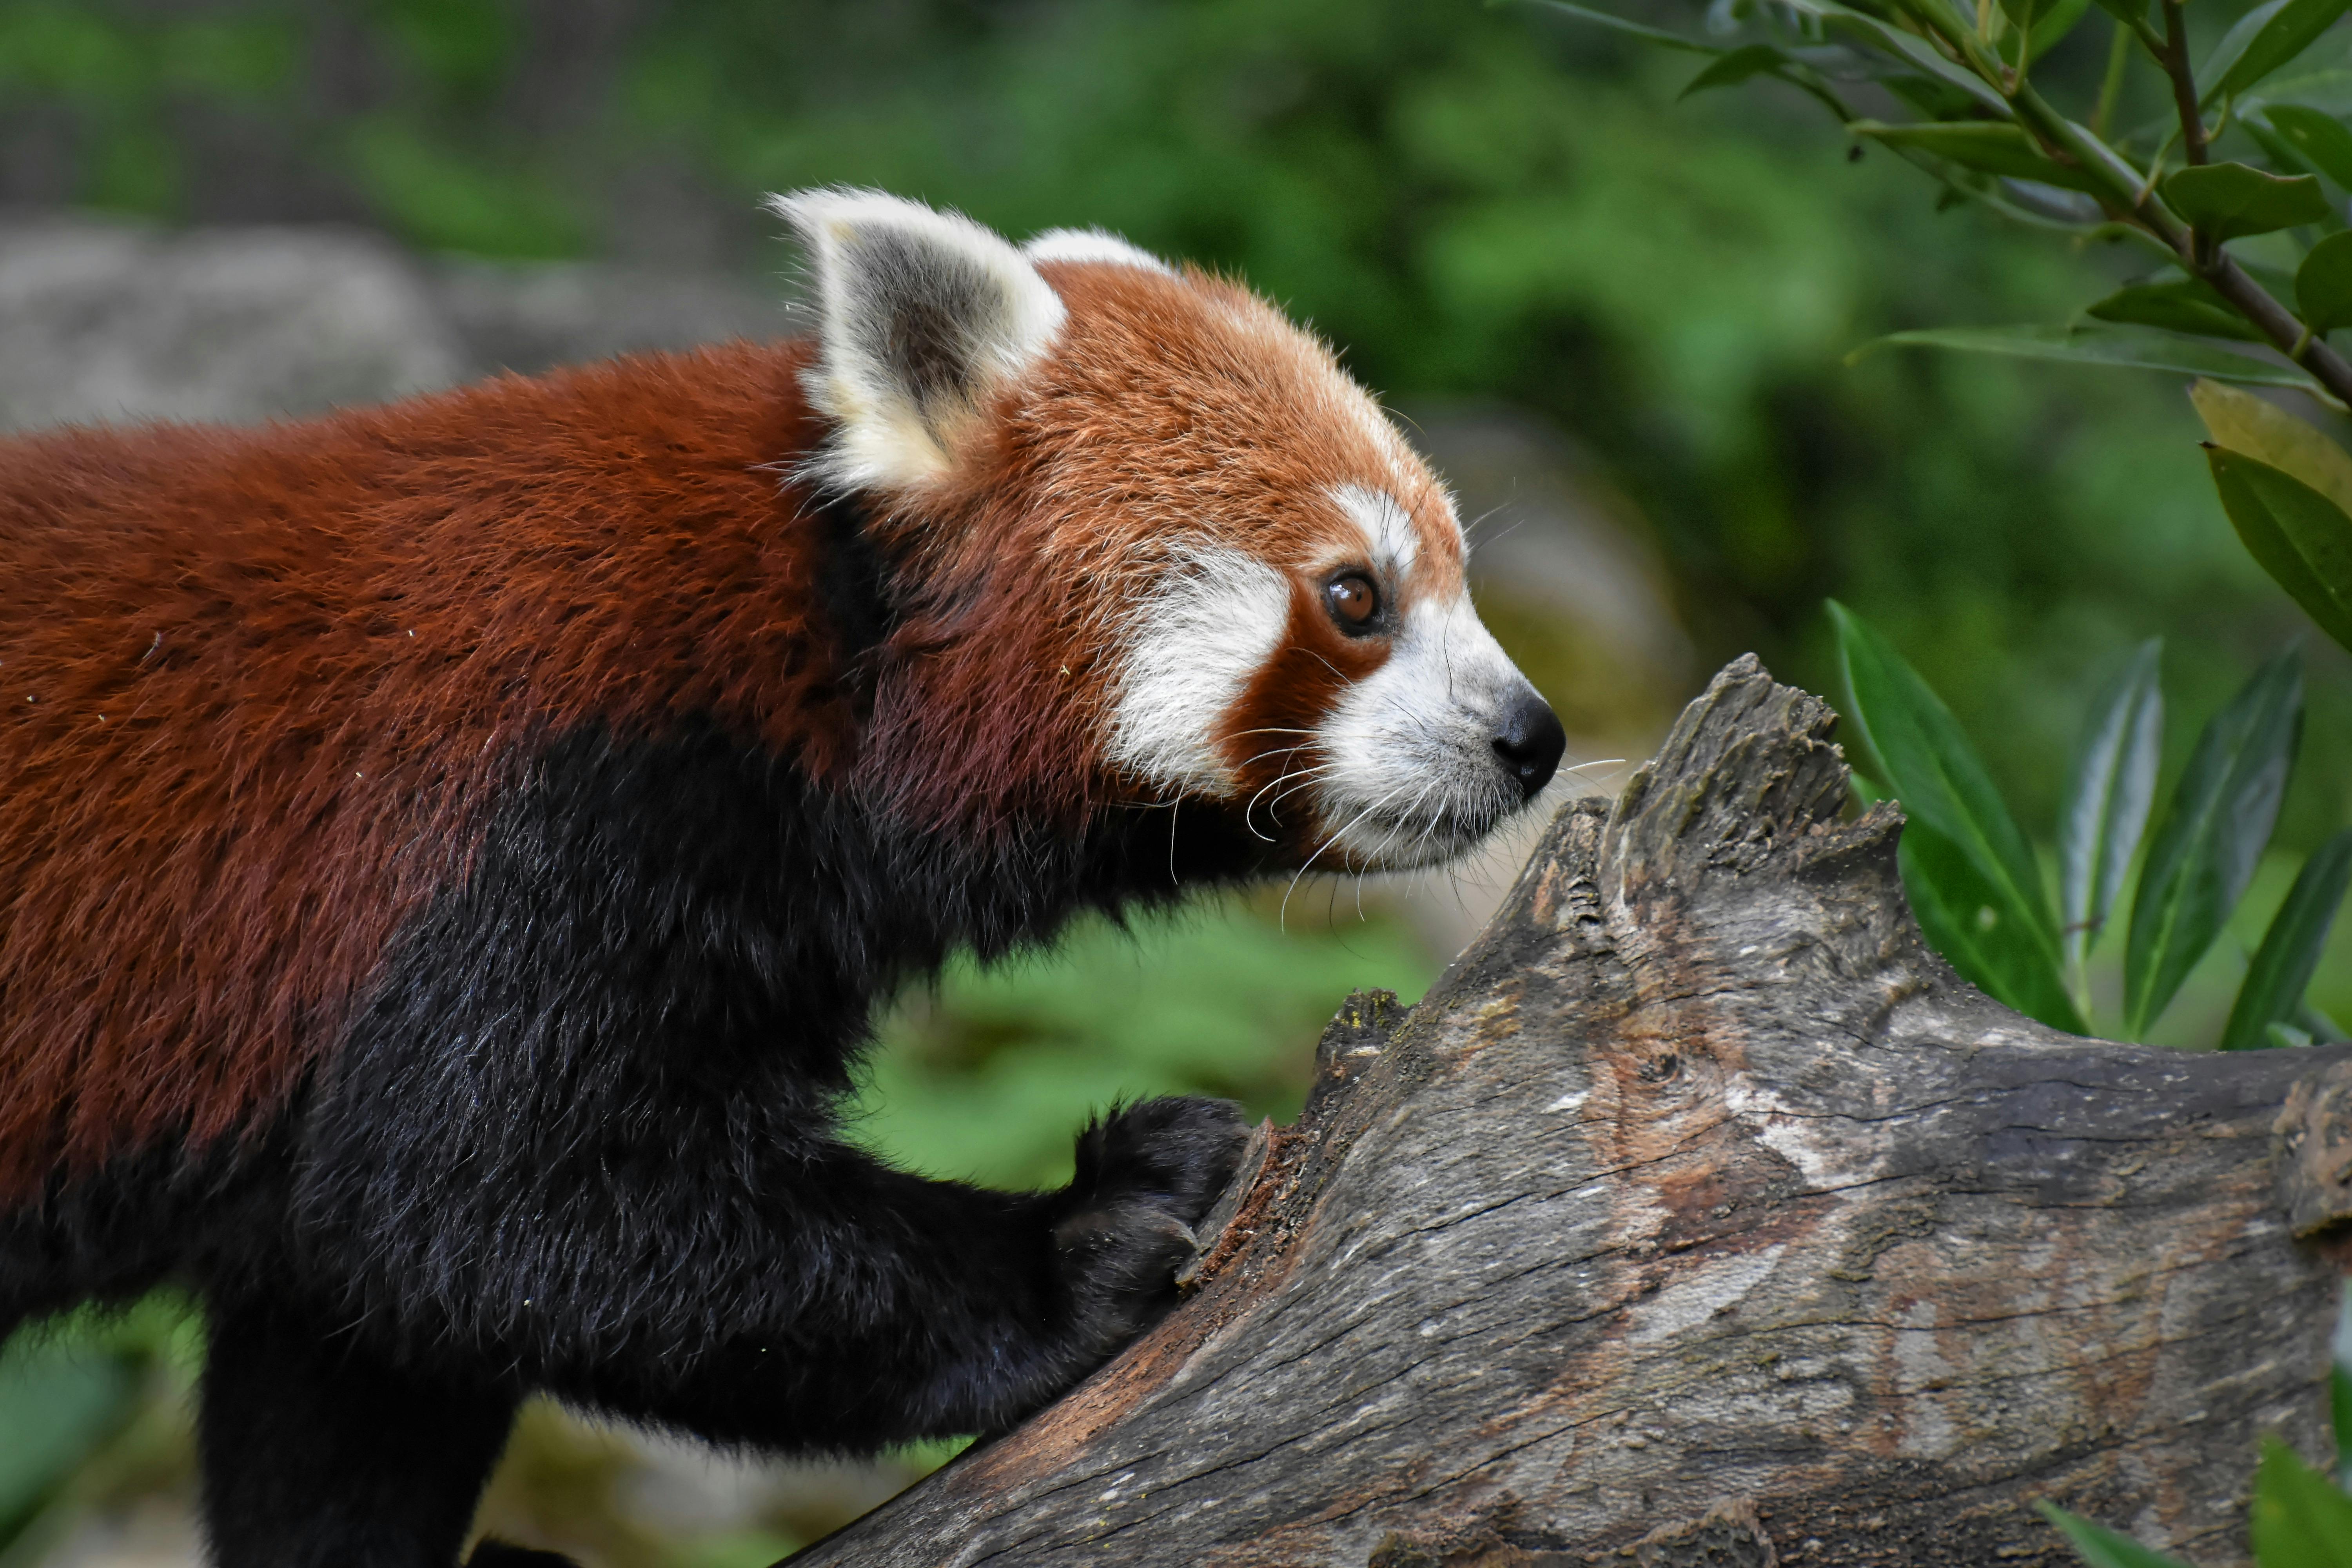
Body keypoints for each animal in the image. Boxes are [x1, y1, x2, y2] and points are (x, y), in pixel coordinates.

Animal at [0, 190, 1565, 1566]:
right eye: (1354, 597)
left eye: (1458, 573)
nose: (1532, 736)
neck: (817, 655)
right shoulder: (538, 820)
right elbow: (475, 1203)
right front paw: (1082, 1239)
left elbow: (350, 1338)